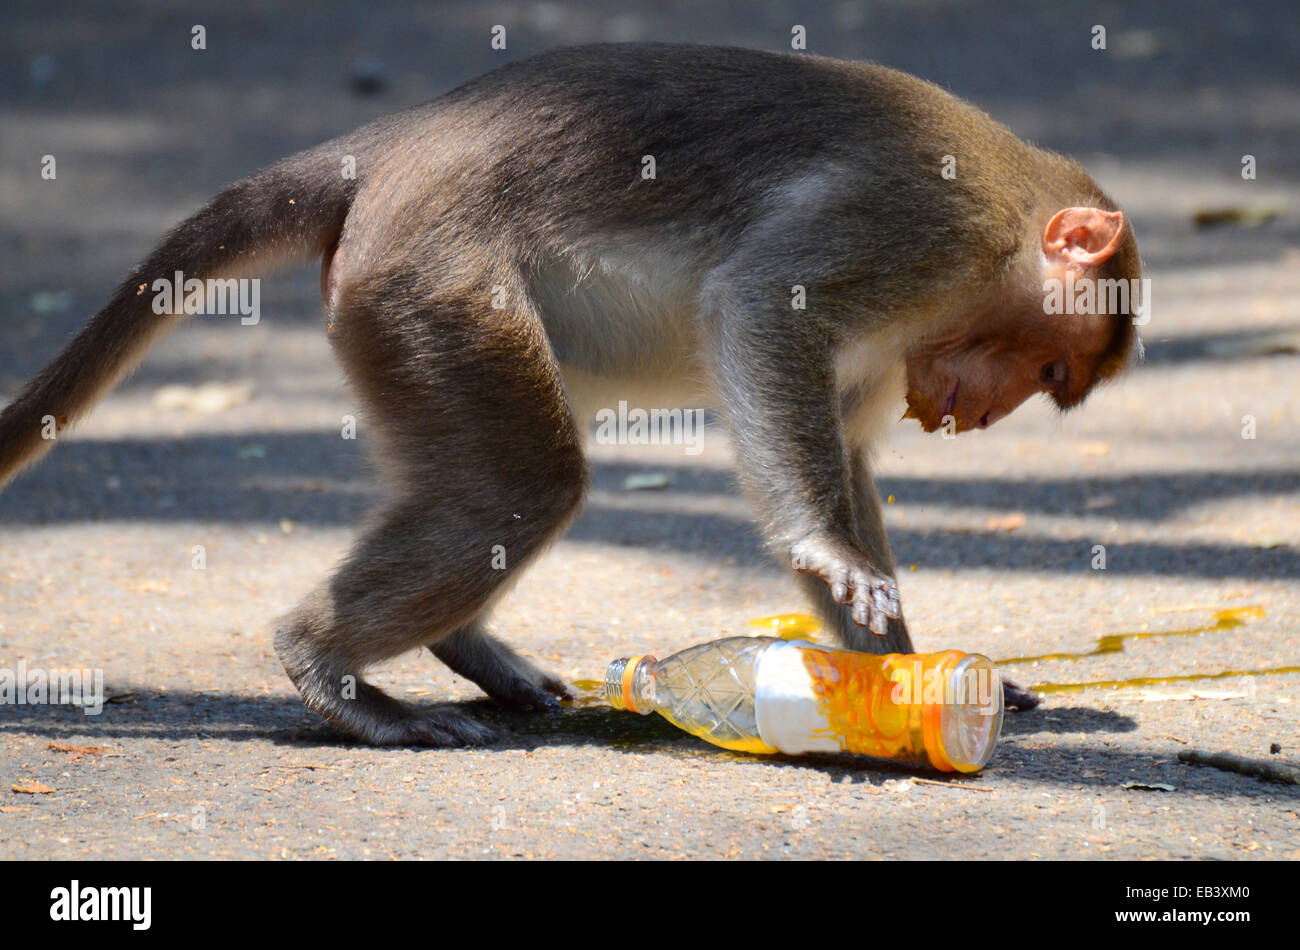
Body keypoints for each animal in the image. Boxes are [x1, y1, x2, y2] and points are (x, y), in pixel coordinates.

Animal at [0, 44, 1141, 745]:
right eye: (1052, 372)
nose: (977, 414)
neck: (1008, 221)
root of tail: (388, 148)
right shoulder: (924, 224)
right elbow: (762, 306)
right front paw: (837, 563)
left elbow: (841, 452)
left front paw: (897, 674)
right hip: (427, 280)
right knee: (529, 480)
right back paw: (326, 669)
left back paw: (462, 649)